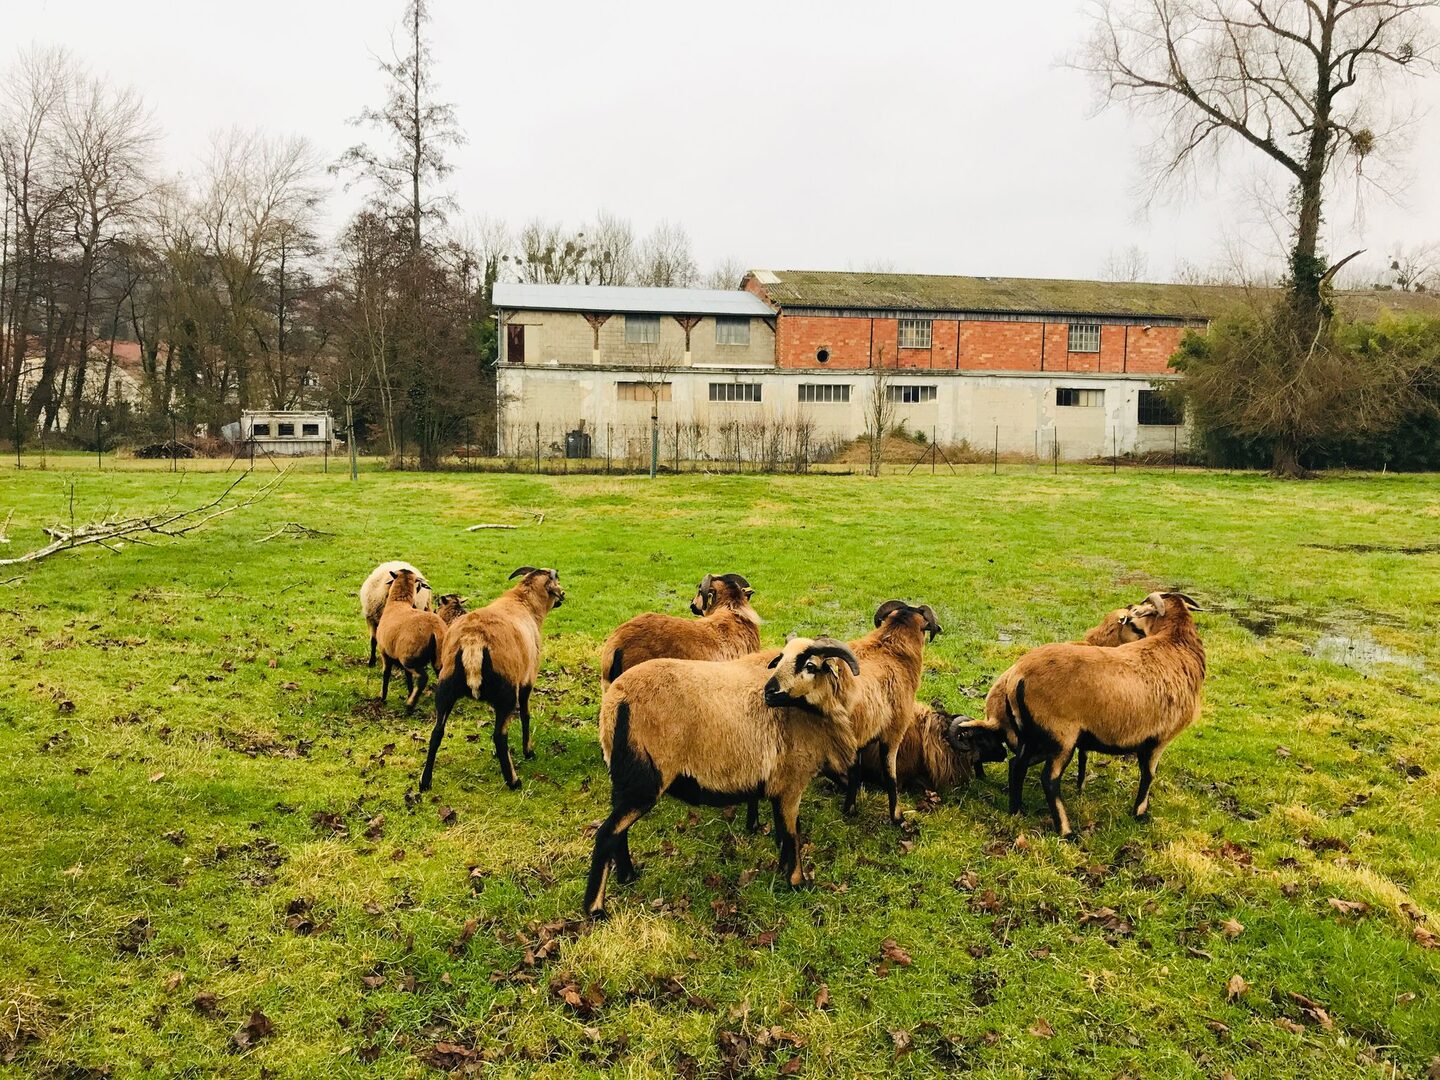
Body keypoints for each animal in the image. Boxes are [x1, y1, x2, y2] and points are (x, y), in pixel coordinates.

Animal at [374, 570, 446, 714]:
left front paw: (383, 697)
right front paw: (409, 692)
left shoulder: (385, 653)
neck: (398, 602)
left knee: (423, 678)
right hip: (437, 658)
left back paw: (410, 705)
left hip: (409, 657)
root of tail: (435, 628)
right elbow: (408, 677)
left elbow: (386, 674)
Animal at [420, 570, 564, 789]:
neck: (523, 602)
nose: (562, 596)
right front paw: (528, 751)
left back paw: (425, 781)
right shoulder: (526, 681)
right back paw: (513, 781)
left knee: (437, 732)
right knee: (499, 736)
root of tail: (473, 641)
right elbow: (525, 716)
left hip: (445, 689)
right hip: (506, 693)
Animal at [956, 596, 1203, 840]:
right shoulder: (1160, 739)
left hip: (1032, 735)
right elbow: (1148, 775)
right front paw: (1139, 813)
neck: (1175, 642)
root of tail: (1018, 675)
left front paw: (1082, 787)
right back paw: (1066, 831)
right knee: (1049, 779)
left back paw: (1016, 810)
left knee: (1016, 765)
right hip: (1061, 735)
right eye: (1134, 624)